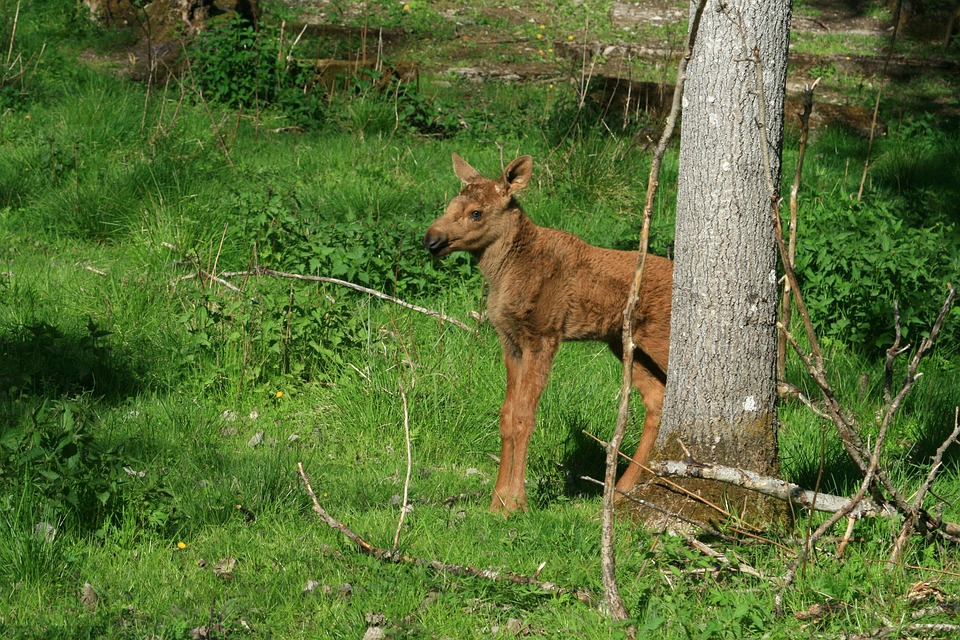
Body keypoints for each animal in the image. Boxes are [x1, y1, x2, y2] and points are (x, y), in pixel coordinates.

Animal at [423, 153, 673, 515]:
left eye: (476, 213)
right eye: (451, 204)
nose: (431, 240)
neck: (505, 272)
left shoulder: (543, 334)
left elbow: (524, 415)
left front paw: (516, 502)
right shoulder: (510, 340)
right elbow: (506, 415)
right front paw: (497, 501)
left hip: (658, 339)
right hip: (626, 343)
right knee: (657, 397)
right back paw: (622, 489)